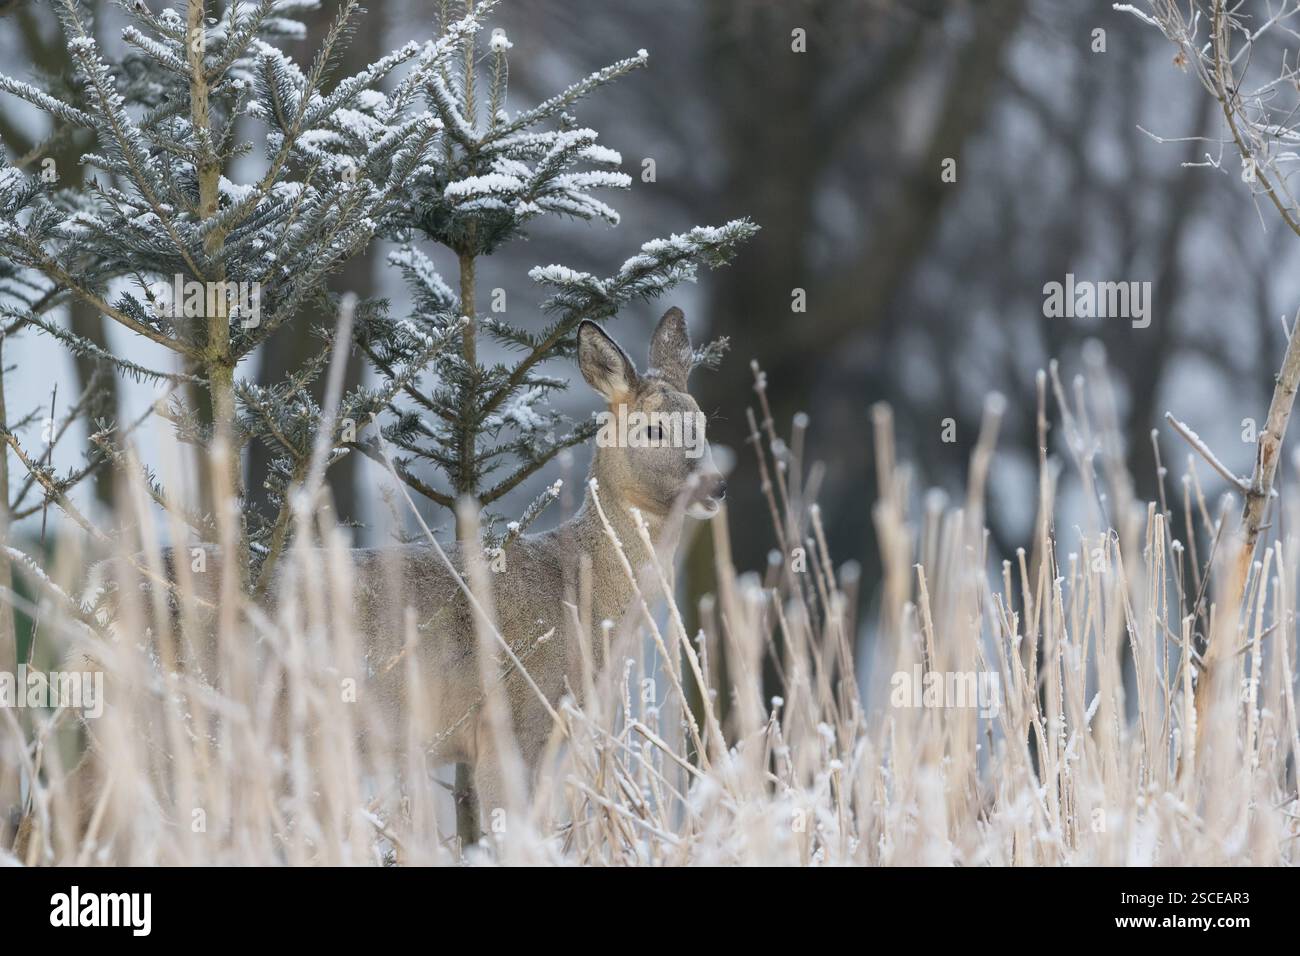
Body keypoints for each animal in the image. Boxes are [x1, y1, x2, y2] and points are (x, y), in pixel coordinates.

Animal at [78, 307, 726, 838]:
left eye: (703, 422)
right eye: (653, 429)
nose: (717, 486)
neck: (576, 589)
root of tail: (96, 594)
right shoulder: (510, 724)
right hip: (178, 723)